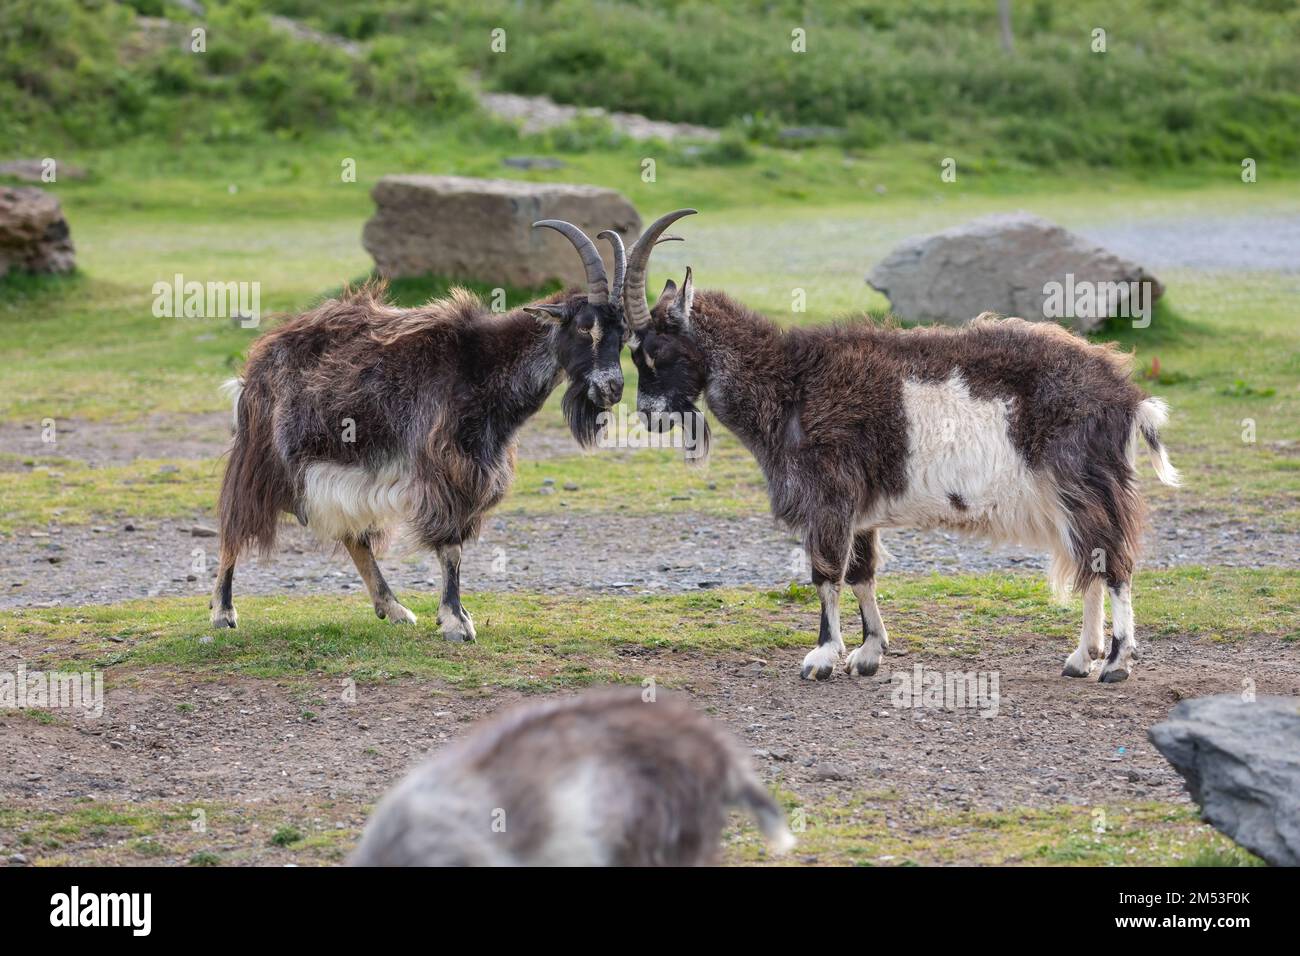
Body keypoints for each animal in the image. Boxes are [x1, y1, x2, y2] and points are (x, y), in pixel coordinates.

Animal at [210, 214, 687, 639]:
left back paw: (394, 609)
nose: (611, 389)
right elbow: (451, 549)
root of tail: (261, 355)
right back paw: (222, 613)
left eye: (622, 333)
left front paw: (451, 616)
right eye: (585, 328)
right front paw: (457, 622)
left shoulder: (478, 470)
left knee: (353, 535)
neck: (482, 367)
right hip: (263, 453)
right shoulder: (446, 470)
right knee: (236, 521)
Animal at [628, 268, 1180, 683]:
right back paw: (1081, 658)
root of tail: (1128, 396)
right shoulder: (860, 509)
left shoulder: (829, 496)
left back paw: (1116, 662)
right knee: (1091, 562)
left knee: (1114, 562)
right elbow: (861, 573)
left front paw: (822, 657)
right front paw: (869, 652)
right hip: (1068, 496)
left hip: (1084, 483)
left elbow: (825, 574)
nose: (648, 416)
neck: (790, 383)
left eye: (658, 352)